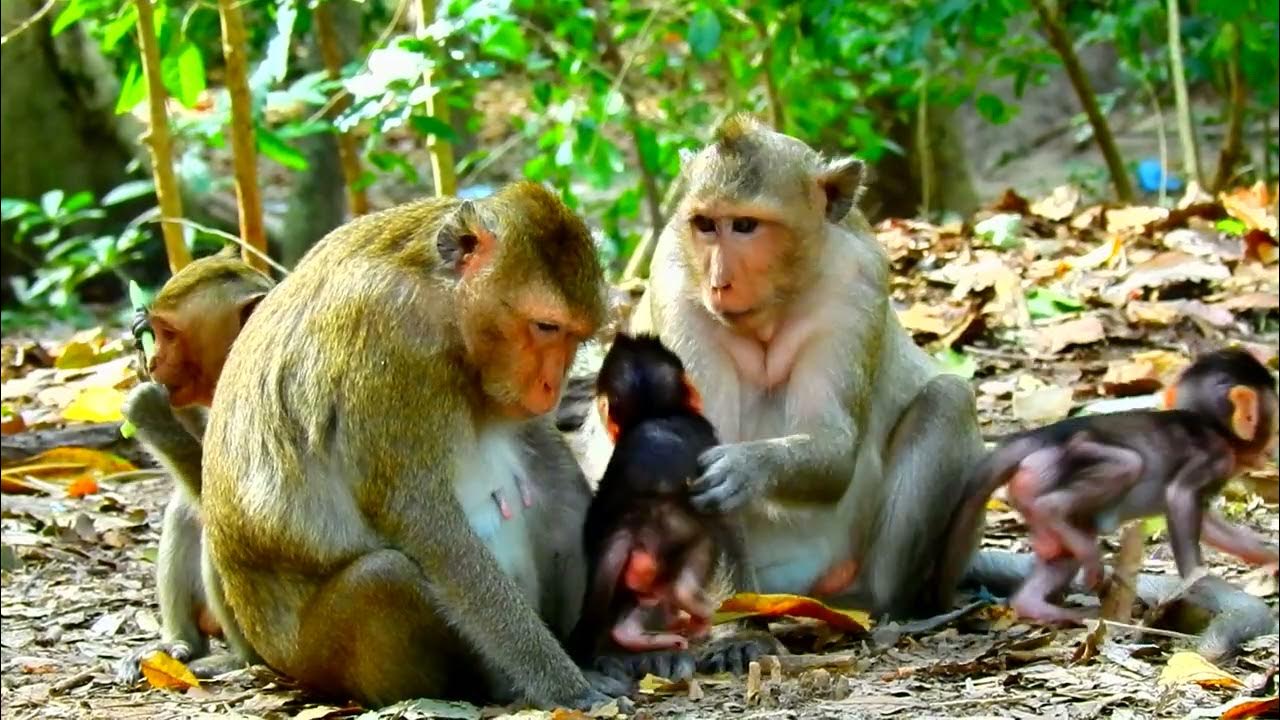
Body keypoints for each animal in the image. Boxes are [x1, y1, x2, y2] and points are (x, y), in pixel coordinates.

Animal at [115, 247, 275, 685]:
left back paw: (238, 660)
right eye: (159, 332)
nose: (155, 362)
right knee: (185, 509)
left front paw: (152, 414)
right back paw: (179, 645)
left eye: (170, 334)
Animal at [200, 182, 629, 710]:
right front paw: (567, 687)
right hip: (317, 655)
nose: (551, 387)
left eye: (575, 337)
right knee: (383, 576)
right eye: (546, 327)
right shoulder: (388, 340)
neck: (438, 294)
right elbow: (424, 523)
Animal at [568, 333, 749, 664]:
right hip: (678, 535)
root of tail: (634, 519)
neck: (653, 412)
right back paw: (697, 616)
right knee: (695, 563)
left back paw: (635, 633)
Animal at [939, 347, 1279, 624]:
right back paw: (1059, 518)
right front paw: (1198, 579)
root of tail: (1039, 437)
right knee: (1125, 464)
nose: (1267, 453)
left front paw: (1270, 557)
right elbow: (1180, 498)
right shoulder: (1215, 457)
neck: (1212, 426)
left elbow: (1208, 524)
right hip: (1056, 464)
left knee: (1064, 549)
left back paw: (1037, 605)